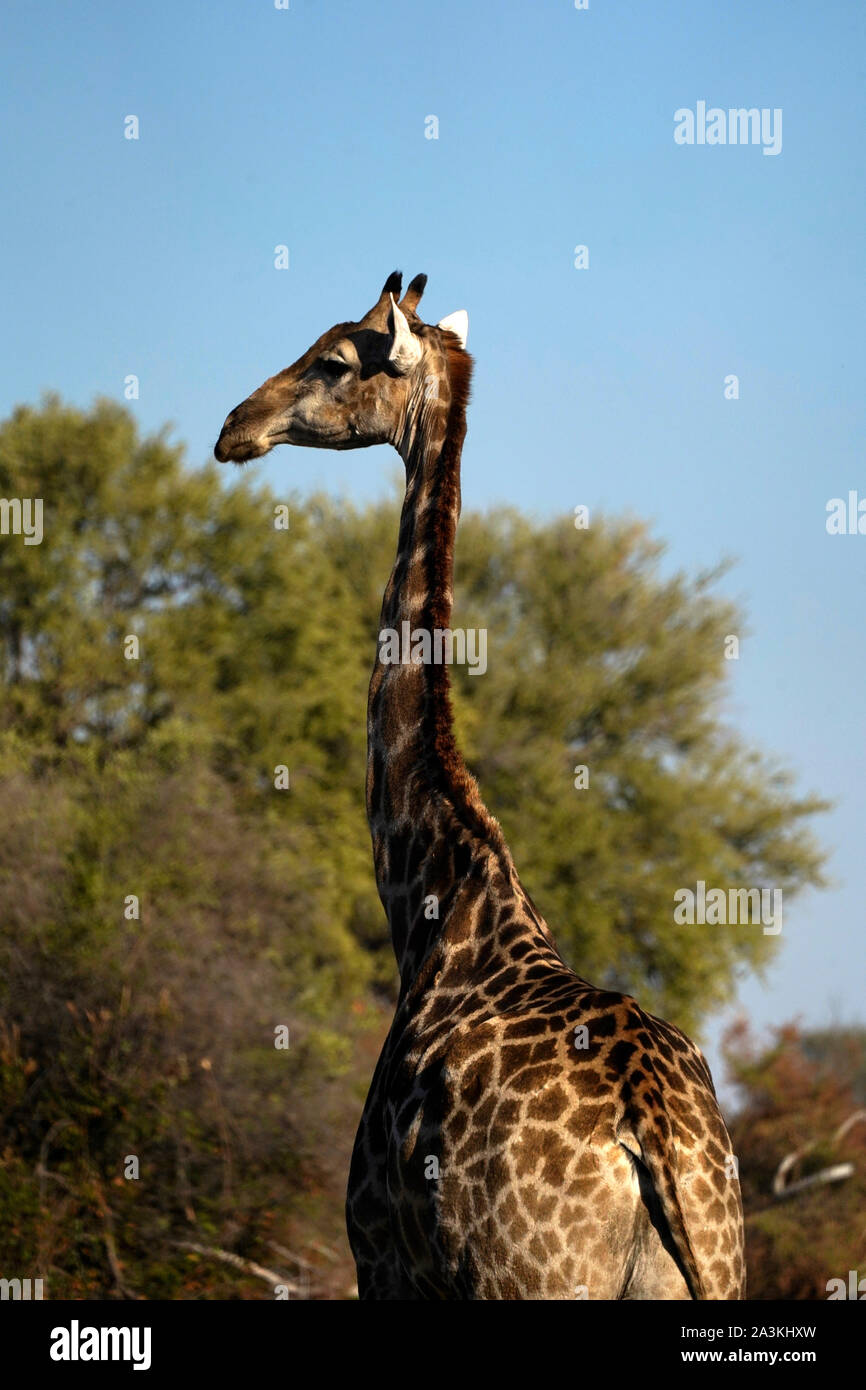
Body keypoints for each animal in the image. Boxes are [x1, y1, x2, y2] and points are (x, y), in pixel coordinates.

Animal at [215, 271, 746, 1301]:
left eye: (333, 360)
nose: (234, 426)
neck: (433, 896)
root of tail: (654, 1130)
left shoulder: (383, 1257)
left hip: (530, 1277)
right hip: (713, 1261)